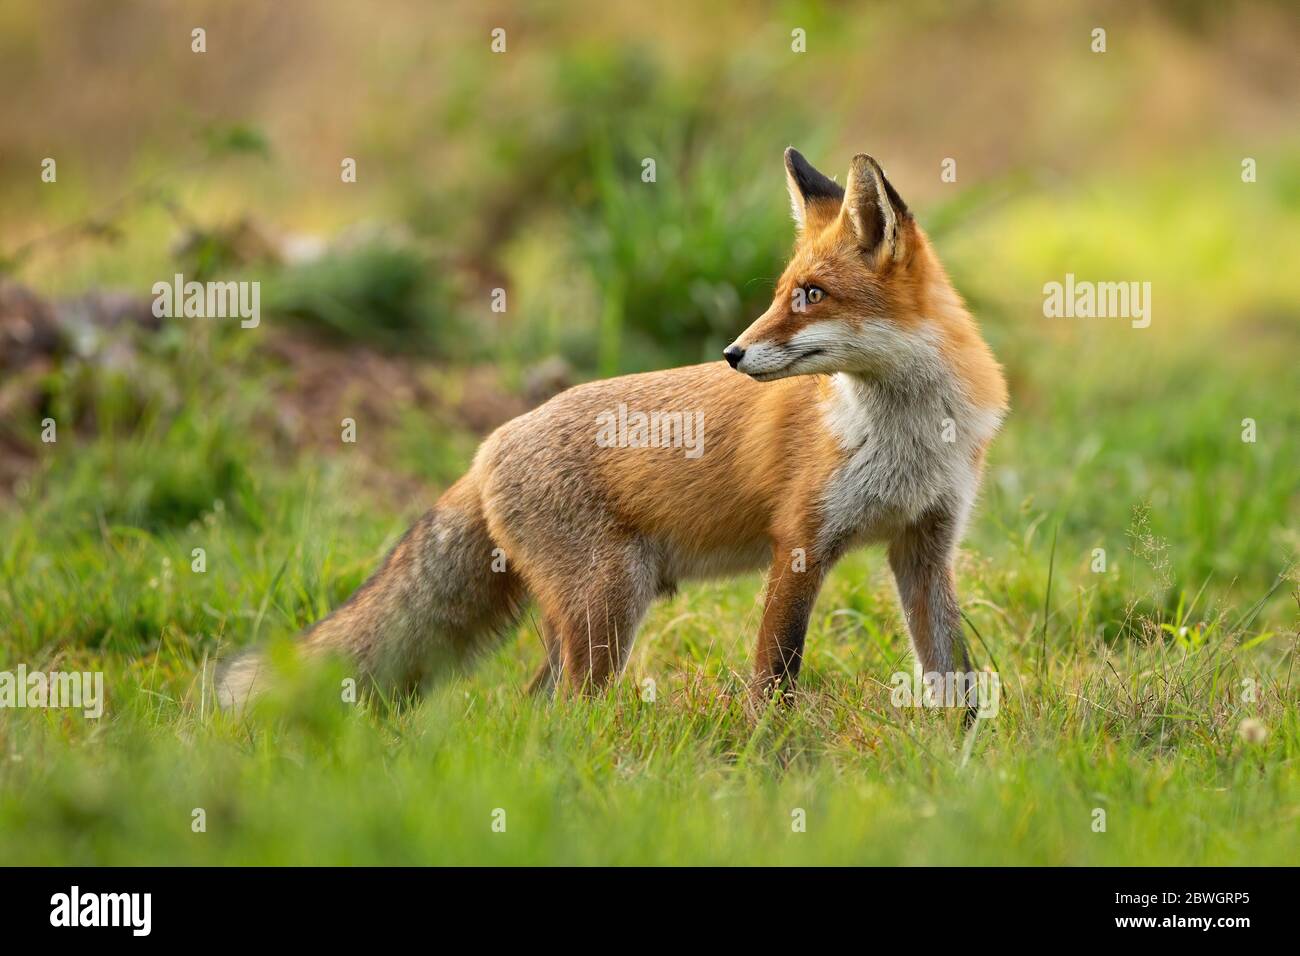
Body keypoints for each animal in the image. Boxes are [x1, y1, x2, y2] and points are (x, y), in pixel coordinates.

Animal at [216, 148, 1008, 710]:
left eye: (811, 296)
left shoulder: (925, 546)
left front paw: (962, 767)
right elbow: (774, 681)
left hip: (595, 615)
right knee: (560, 712)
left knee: (530, 707)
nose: (732, 353)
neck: (906, 435)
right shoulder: (800, 543)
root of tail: (486, 447)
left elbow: (956, 680)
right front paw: (770, 765)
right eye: (783, 294)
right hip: (606, 611)